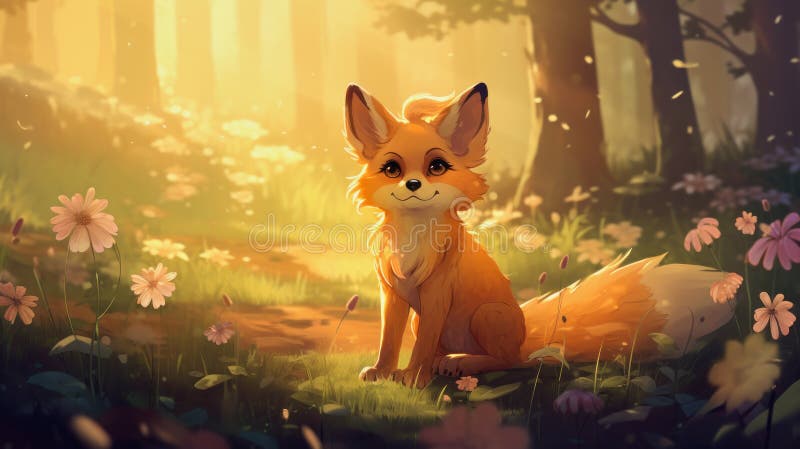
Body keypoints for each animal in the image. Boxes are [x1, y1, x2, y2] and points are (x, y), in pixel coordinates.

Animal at [343, 82, 734, 388]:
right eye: (392, 169)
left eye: (436, 166)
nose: (412, 185)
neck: (414, 238)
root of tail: (524, 339)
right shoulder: (392, 291)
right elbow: (388, 340)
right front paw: (382, 372)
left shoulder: (437, 292)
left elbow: (422, 348)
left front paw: (414, 376)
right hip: (428, 317)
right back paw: (449, 359)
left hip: (487, 315)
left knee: (505, 360)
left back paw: (462, 361)